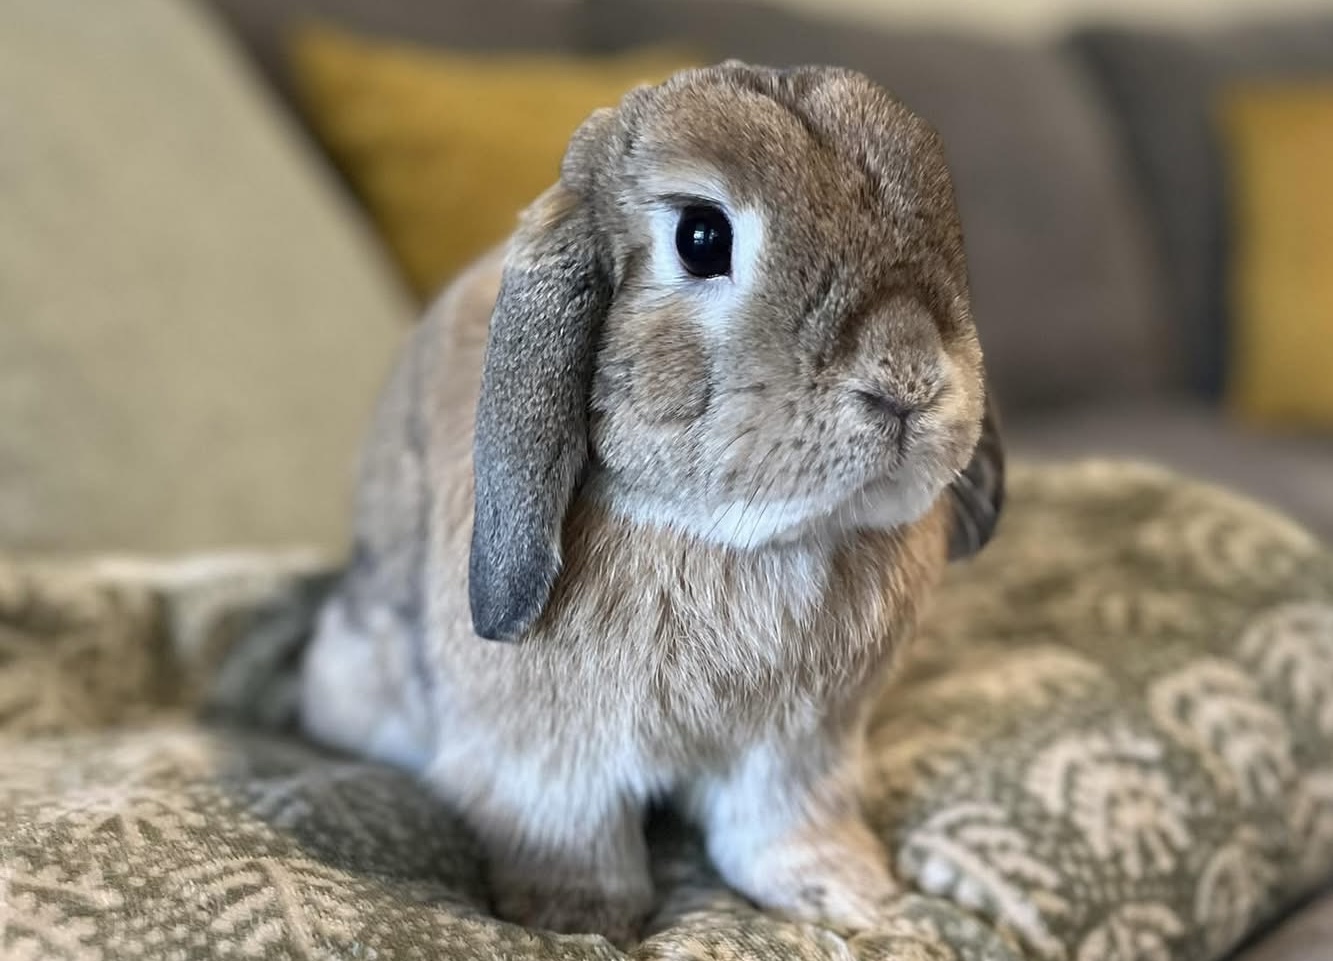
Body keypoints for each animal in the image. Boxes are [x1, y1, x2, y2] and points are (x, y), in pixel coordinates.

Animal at [299, 61, 1004, 947]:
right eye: (701, 238)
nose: (906, 376)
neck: (744, 542)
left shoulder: (799, 750)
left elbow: (781, 828)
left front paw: (844, 893)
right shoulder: (551, 757)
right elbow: (572, 835)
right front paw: (577, 916)